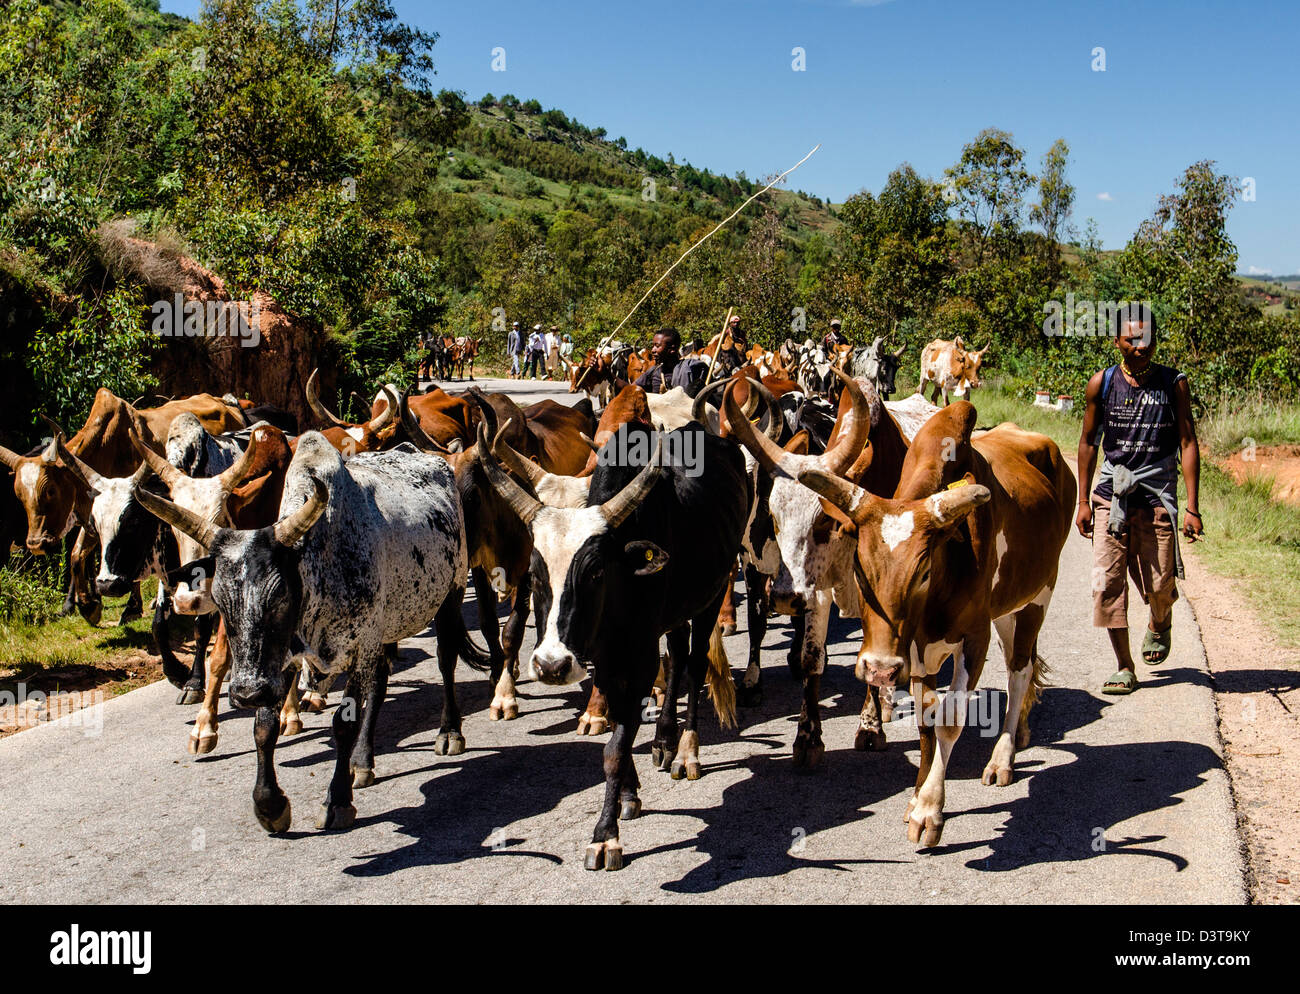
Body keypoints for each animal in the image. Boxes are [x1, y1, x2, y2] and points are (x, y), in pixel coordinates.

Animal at [135, 431, 487, 831]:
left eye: (279, 597)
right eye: (221, 601)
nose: (245, 693)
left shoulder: (359, 645)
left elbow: (343, 723)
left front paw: (337, 801)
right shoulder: (282, 658)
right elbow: (264, 726)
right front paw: (270, 804)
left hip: (449, 593)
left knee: (446, 660)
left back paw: (449, 732)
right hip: (388, 622)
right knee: (381, 682)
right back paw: (362, 762)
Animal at [478, 418, 749, 869]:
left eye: (595, 572)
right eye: (534, 574)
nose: (551, 666)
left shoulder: (638, 659)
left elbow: (615, 749)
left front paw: (605, 837)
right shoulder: (604, 658)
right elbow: (618, 727)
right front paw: (628, 793)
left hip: (711, 595)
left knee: (694, 665)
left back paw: (686, 751)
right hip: (675, 613)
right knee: (677, 655)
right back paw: (663, 741)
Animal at [793, 402, 1074, 845]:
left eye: (923, 570)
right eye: (859, 566)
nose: (878, 668)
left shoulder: (974, 639)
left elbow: (950, 720)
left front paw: (929, 810)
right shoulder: (914, 648)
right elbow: (926, 722)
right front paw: (915, 798)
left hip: (1037, 597)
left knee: (1019, 672)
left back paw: (1003, 758)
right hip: (1007, 609)